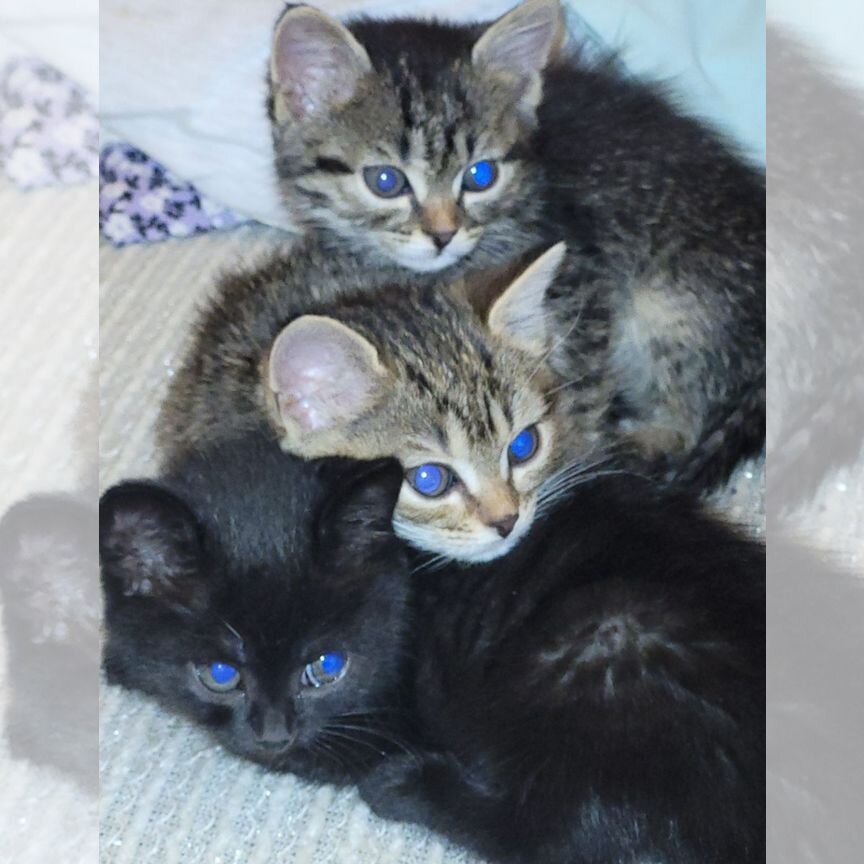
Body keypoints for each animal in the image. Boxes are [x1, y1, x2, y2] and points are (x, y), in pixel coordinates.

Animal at [268, 0, 766, 488]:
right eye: (385, 181)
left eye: (480, 175)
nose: (443, 235)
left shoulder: (581, 282)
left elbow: (577, 387)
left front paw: (572, 457)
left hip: (672, 304)